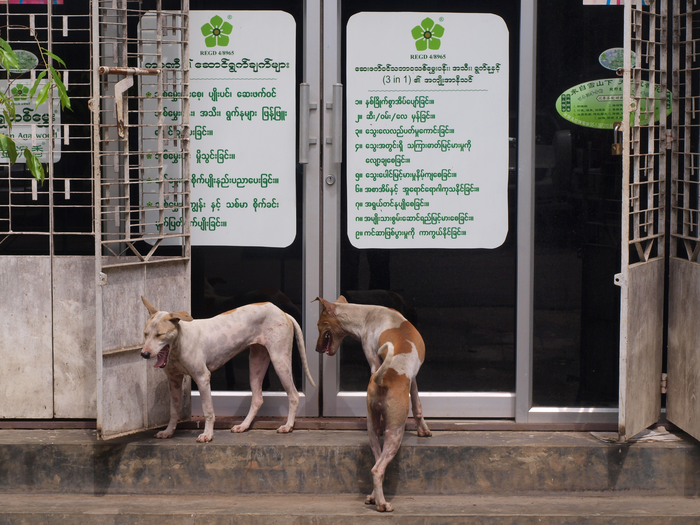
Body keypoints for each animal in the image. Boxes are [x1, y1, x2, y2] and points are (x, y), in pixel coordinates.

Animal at [141, 296, 316, 440]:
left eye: (160, 335)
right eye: (145, 334)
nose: (144, 354)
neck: (179, 343)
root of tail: (282, 311)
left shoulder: (203, 378)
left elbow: (208, 410)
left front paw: (207, 435)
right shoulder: (174, 381)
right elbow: (174, 410)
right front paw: (168, 431)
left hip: (280, 361)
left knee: (294, 395)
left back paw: (288, 426)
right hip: (256, 364)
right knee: (258, 399)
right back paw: (244, 426)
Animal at [314, 296, 430, 510]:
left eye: (319, 325)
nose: (317, 349)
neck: (367, 314)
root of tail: (382, 380)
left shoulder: (411, 380)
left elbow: (417, 405)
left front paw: (423, 429)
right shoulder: (374, 358)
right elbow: (416, 403)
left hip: (372, 429)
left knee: (376, 463)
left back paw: (374, 496)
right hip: (395, 431)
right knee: (378, 469)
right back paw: (382, 503)